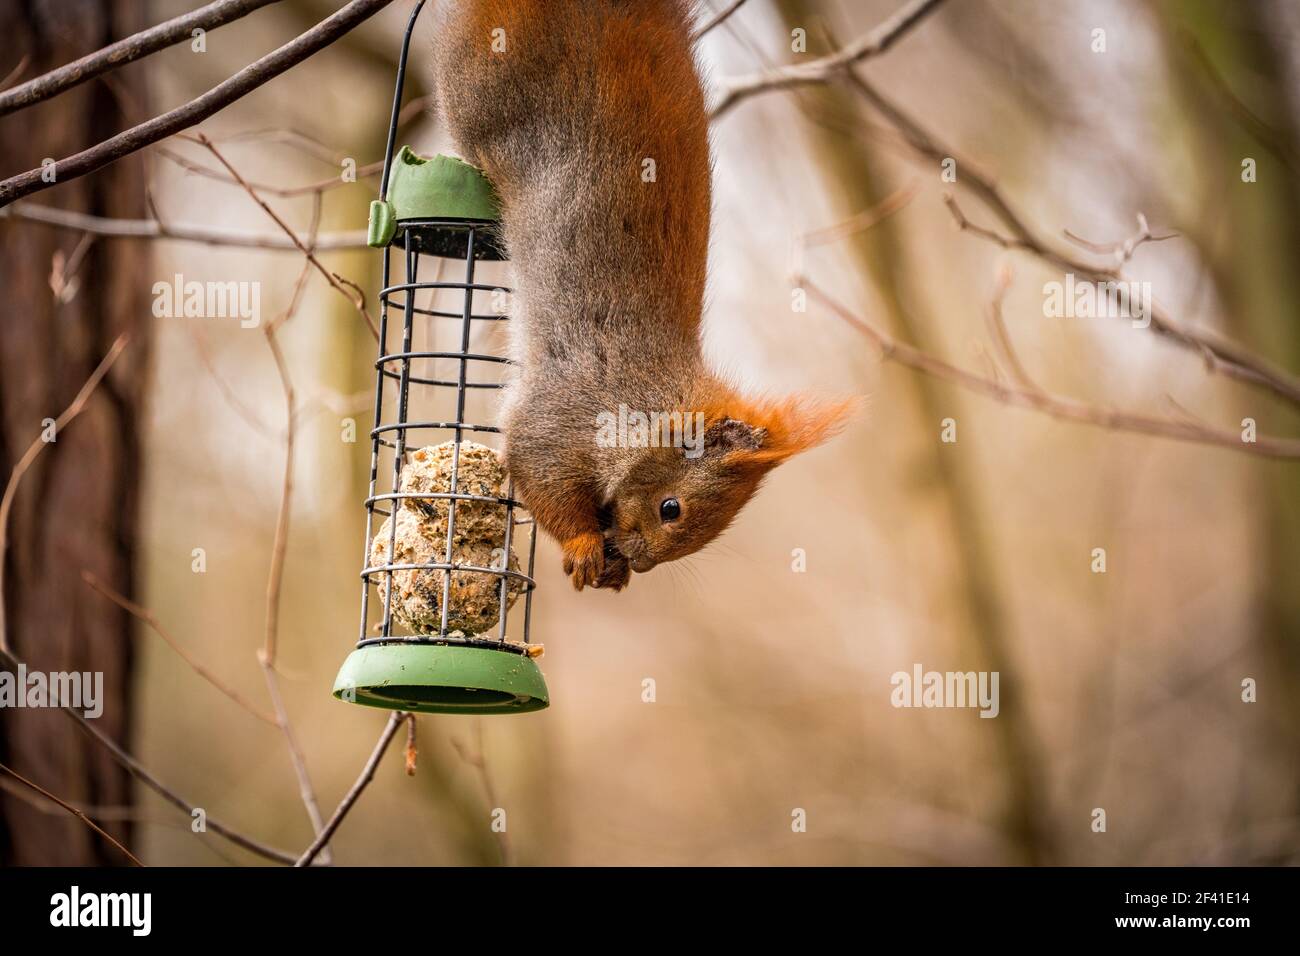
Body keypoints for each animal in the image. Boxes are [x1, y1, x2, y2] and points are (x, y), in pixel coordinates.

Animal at [433, 0, 854, 591]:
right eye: (670, 508)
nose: (641, 563)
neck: (645, 401)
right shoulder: (562, 416)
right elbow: (538, 471)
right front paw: (586, 546)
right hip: (481, 87)